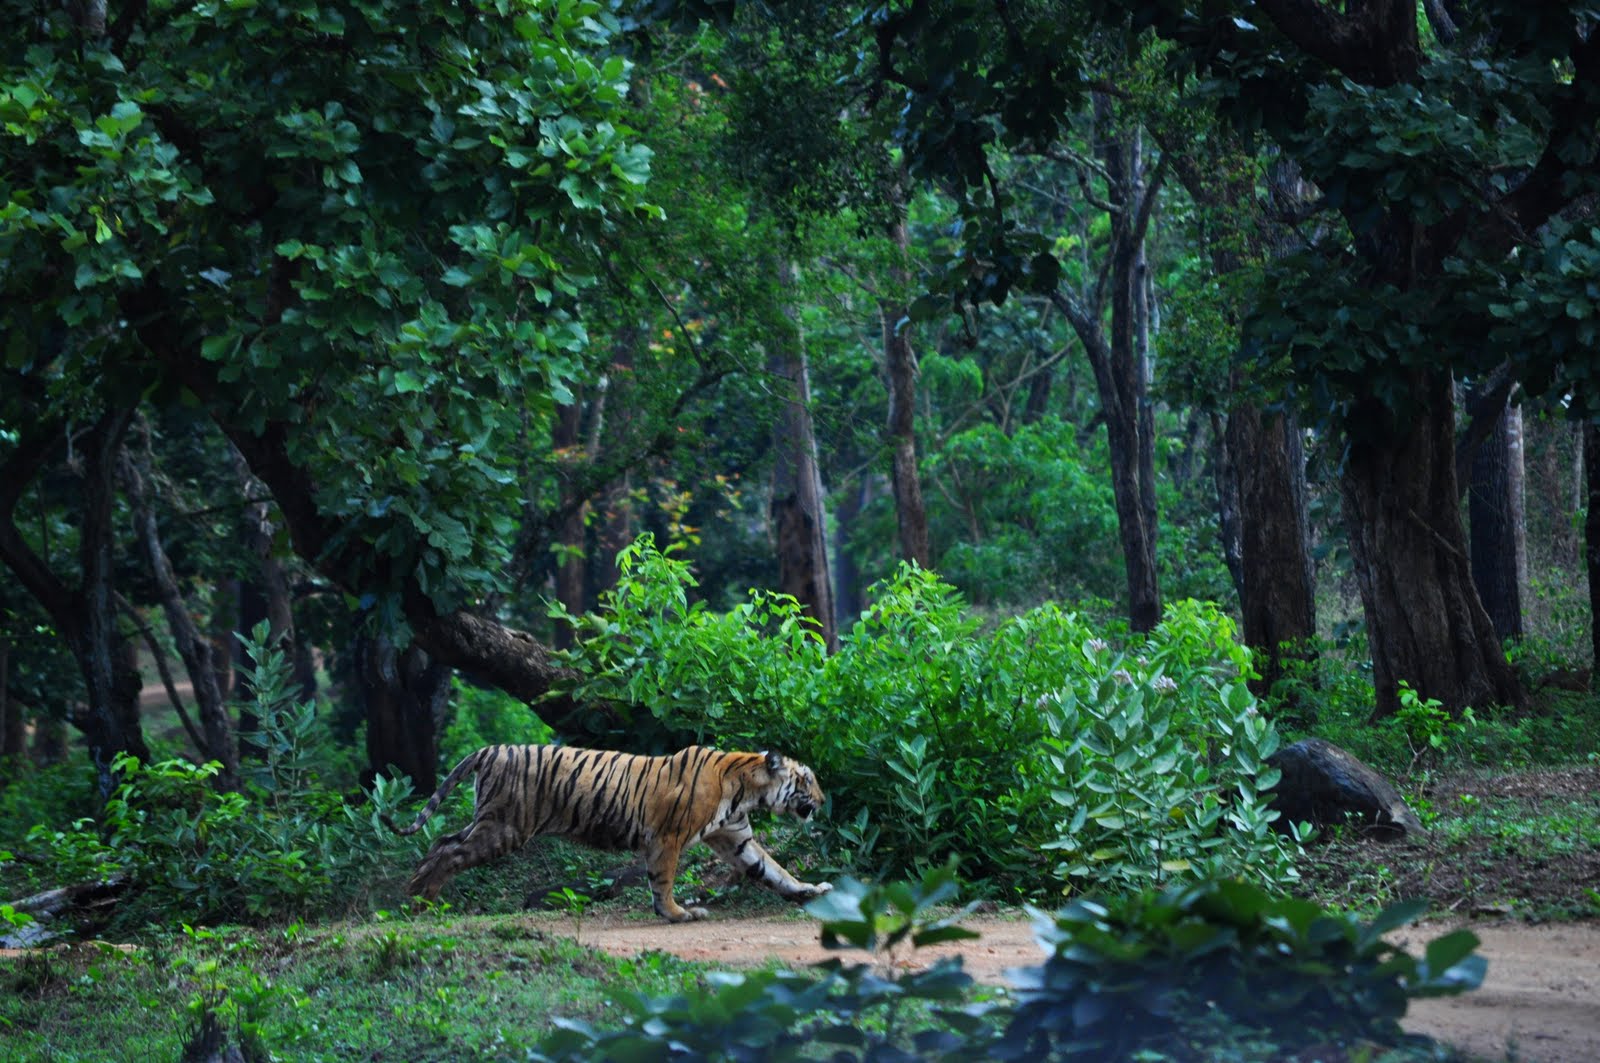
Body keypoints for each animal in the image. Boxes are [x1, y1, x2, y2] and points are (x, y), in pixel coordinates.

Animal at [384, 743, 833, 922]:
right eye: (808, 779)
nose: (825, 799)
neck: (745, 791)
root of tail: (490, 749)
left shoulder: (735, 838)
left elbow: (774, 870)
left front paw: (810, 890)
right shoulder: (667, 837)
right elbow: (663, 881)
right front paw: (677, 914)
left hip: (488, 821)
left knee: (440, 842)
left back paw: (414, 895)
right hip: (504, 828)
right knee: (449, 852)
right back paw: (422, 903)